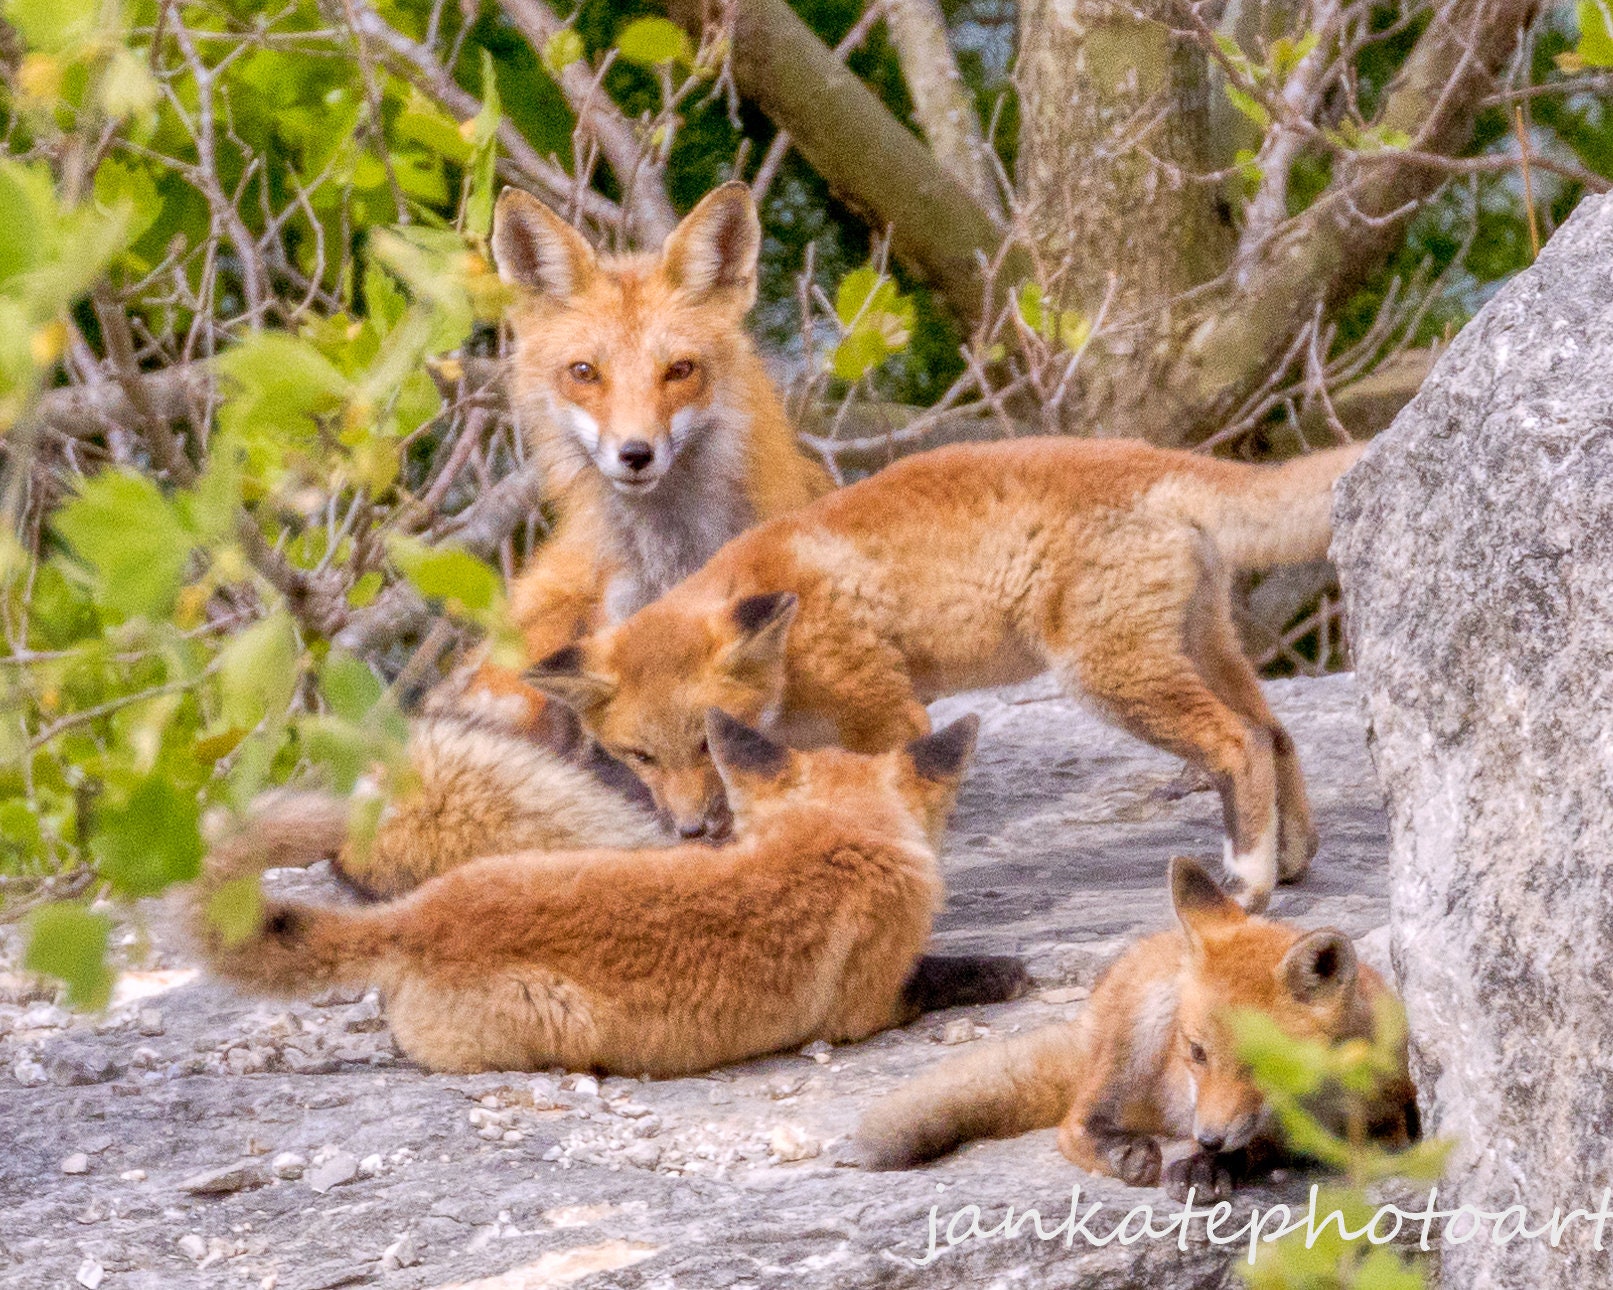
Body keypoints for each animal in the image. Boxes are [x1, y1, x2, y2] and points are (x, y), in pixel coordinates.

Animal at [195, 711, 1029, 1076]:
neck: (833, 833)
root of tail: (421, 915)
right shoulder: (869, 1005)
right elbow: (945, 975)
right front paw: (1002, 970)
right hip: (556, 1020)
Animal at [526, 436, 1366, 909]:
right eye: (638, 757)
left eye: (704, 744)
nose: (691, 832)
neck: (790, 647)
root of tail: (1158, 459)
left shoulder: (891, 715)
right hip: (1196, 652)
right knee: (1276, 735)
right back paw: (1291, 862)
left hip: (1111, 678)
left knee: (1237, 745)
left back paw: (1248, 882)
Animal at [854, 856, 1419, 1201]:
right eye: (1196, 1053)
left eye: (1265, 1064)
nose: (1206, 1138)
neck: (1326, 1096)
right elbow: (1259, 1140)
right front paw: (1208, 1163)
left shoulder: (1390, 1120)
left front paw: (1216, 1163)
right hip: (1143, 1020)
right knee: (1072, 1122)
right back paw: (1123, 1149)